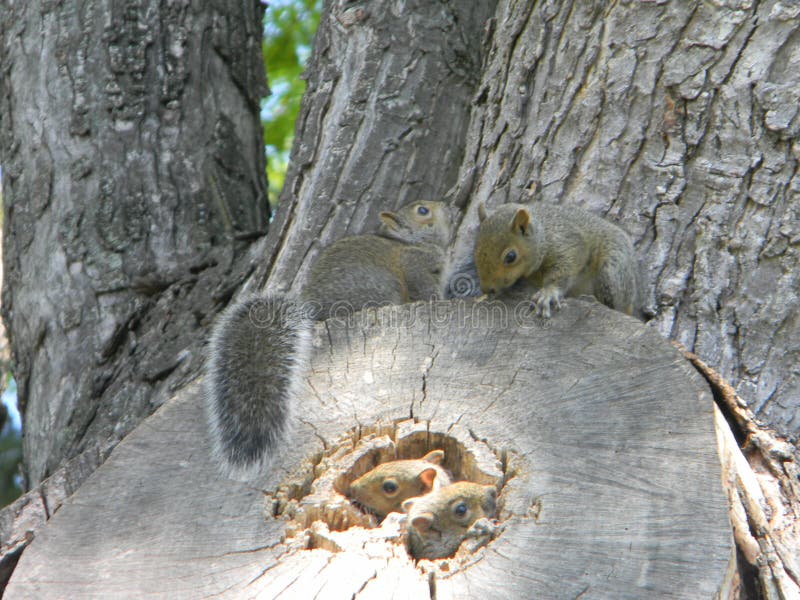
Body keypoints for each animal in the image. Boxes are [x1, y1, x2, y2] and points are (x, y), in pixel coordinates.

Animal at [205, 201, 453, 480]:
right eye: (422, 210)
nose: (446, 206)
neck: (415, 241)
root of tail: (313, 307)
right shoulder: (415, 265)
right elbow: (424, 288)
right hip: (378, 289)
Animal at [474, 202, 640, 318]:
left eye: (510, 256)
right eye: (475, 251)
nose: (487, 289)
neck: (544, 235)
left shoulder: (567, 243)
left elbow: (564, 270)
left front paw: (549, 293)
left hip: (612, 270)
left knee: (617, 305)